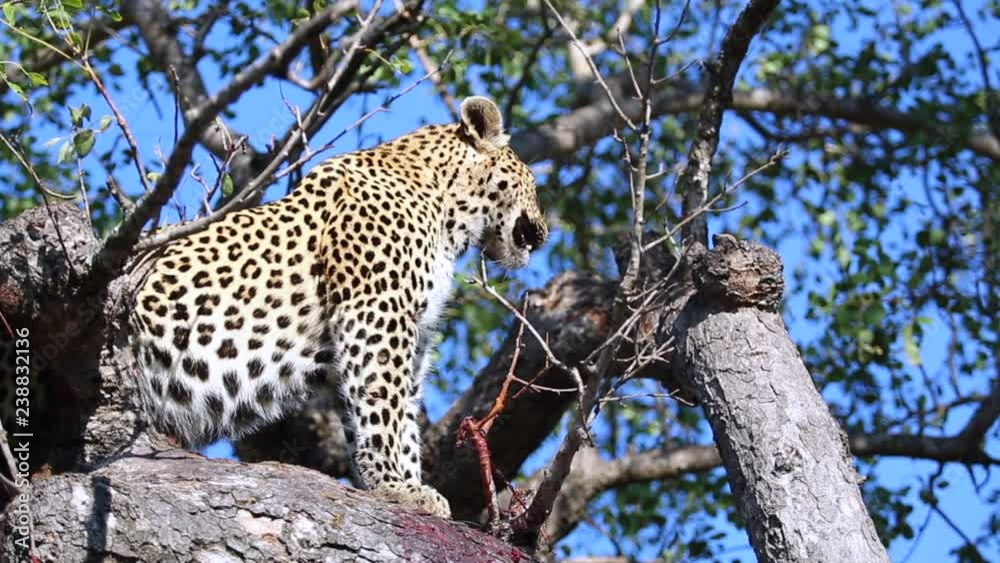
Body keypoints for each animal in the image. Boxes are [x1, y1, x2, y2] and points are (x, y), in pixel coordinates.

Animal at [128, 96, 548, 519]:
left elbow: (400, 414)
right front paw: (394, 484)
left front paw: (410, 481)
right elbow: (383, 403)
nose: (545, 233)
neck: (446, 213)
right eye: (531, 180)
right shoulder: (376, 311)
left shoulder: (414, 331)